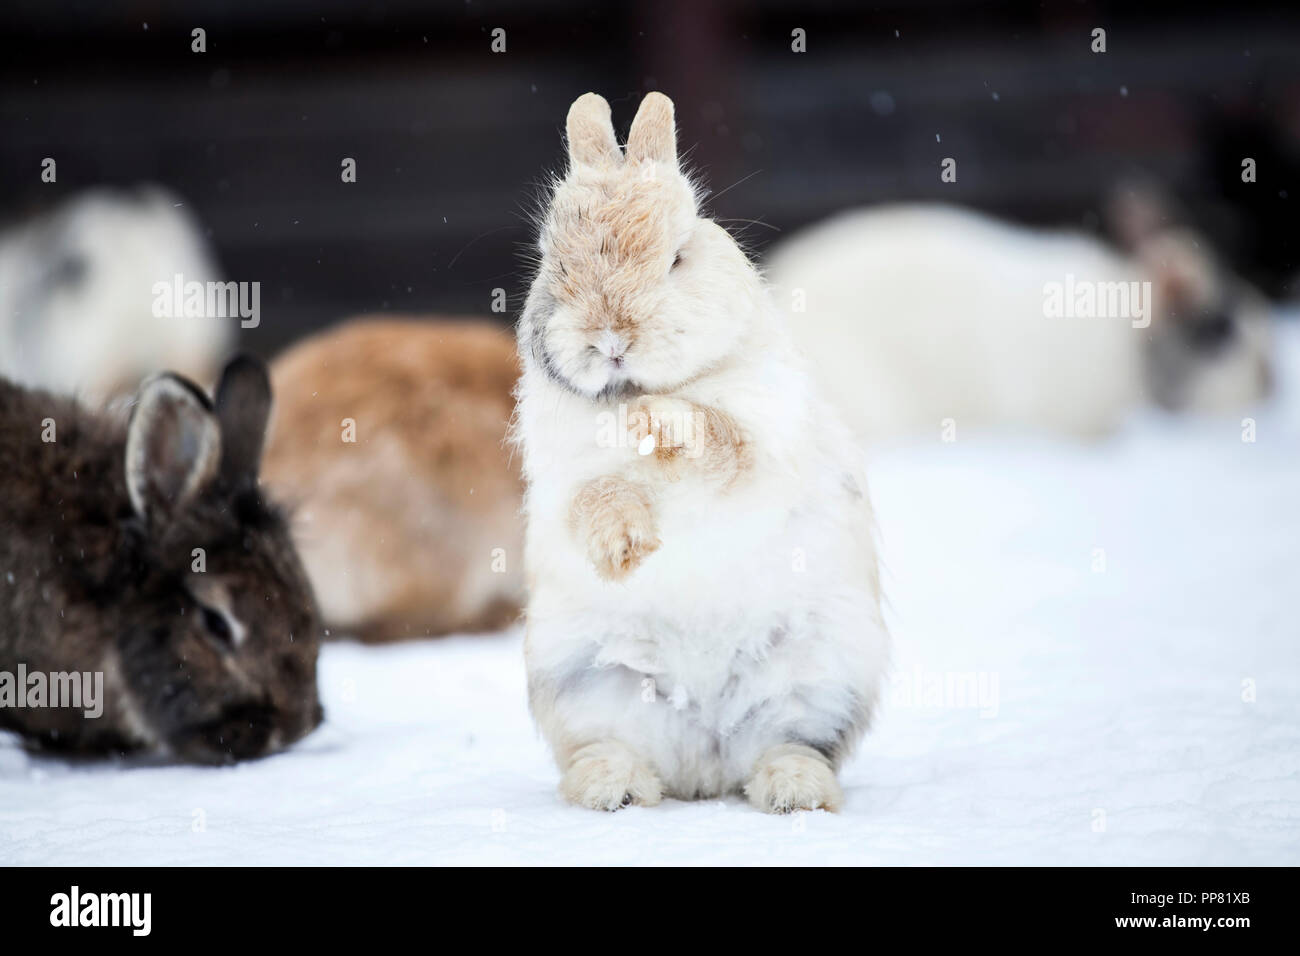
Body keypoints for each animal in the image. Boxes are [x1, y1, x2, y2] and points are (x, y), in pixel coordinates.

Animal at [513, 92, 889, 813]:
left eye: (678, 257)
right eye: (557, 263)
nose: (611, 337)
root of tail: (705, 767)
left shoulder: (762, 439)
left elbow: (720, 441)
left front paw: (656, 423)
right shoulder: (566, 480)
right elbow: (598, 497)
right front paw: (623, 549)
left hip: (826, 676)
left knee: (796, 745)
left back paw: (792, 791)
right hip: (580, 684)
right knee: (614, 751)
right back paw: (614, 789)